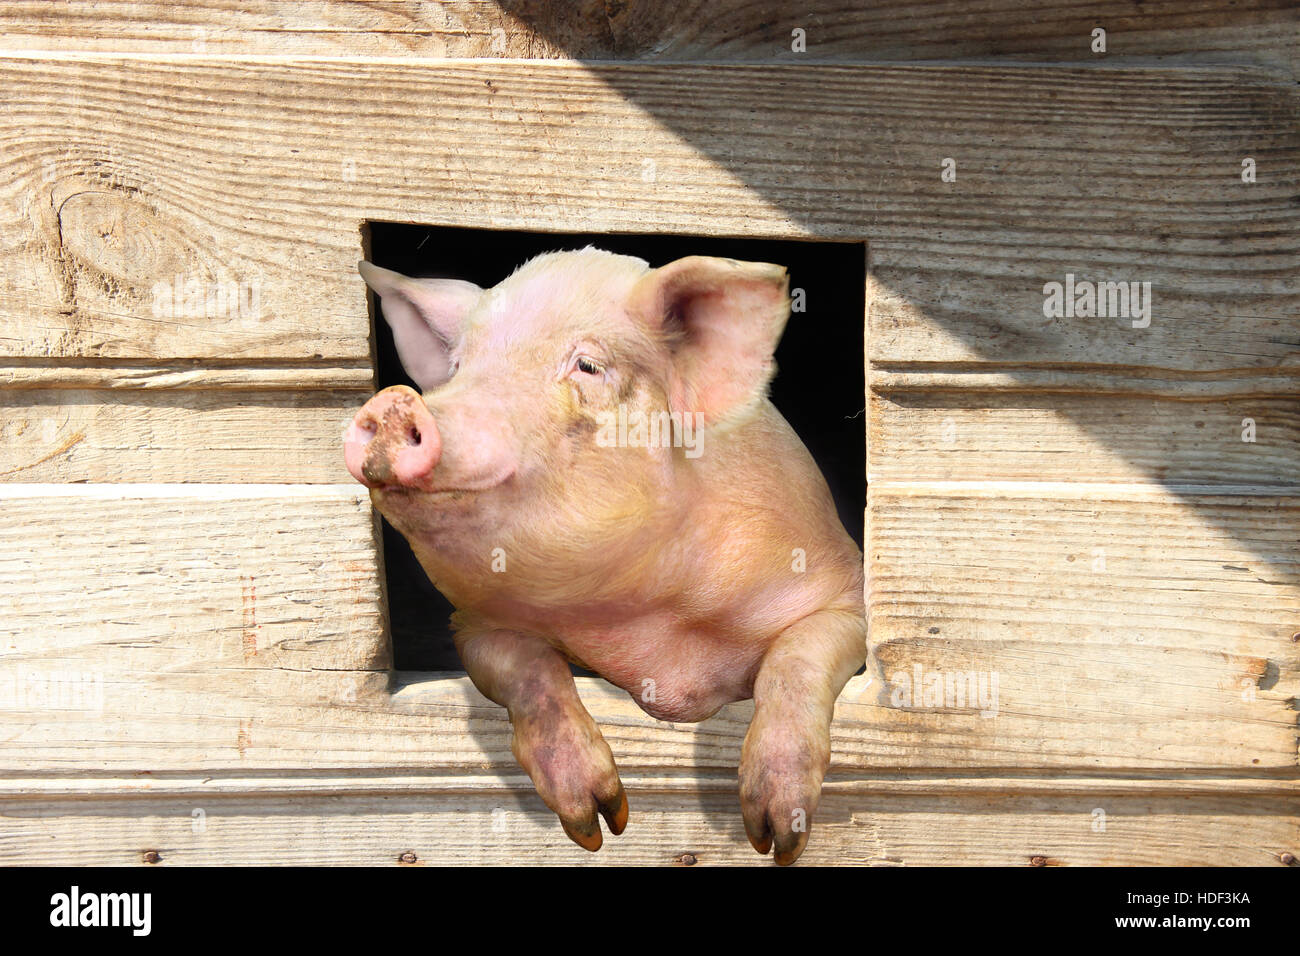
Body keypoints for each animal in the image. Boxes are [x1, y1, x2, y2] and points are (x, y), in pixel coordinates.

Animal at [346, 248, 866, 864]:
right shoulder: (474, 623)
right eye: (459, 366)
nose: (394, 403)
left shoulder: (844, 586)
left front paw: (778, 839)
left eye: (588, 366)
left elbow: (797, 658)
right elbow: (527, 672)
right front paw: (599, 826)